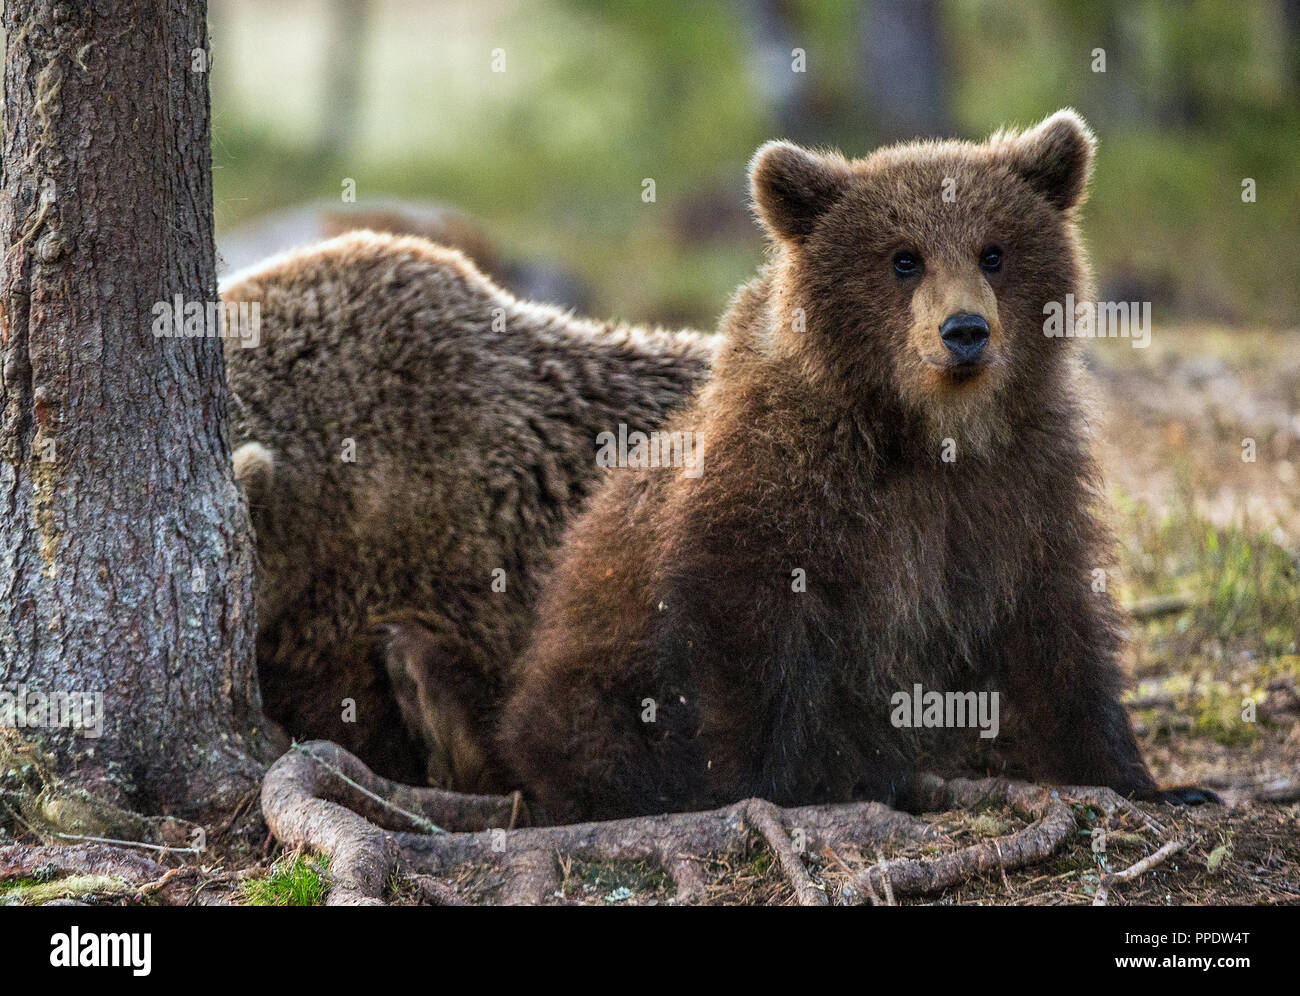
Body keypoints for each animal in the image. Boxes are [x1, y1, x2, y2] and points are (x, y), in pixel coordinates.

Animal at [496, 110, 1220, 823]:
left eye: (993, 252)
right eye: (904, 259)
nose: (964, 330)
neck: (929, 434)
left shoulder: (1020, 483)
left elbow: (1056, 628)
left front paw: (1153, 781)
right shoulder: (784, 484)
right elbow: (739, 641)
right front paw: (750, 786)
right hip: (586, 684)